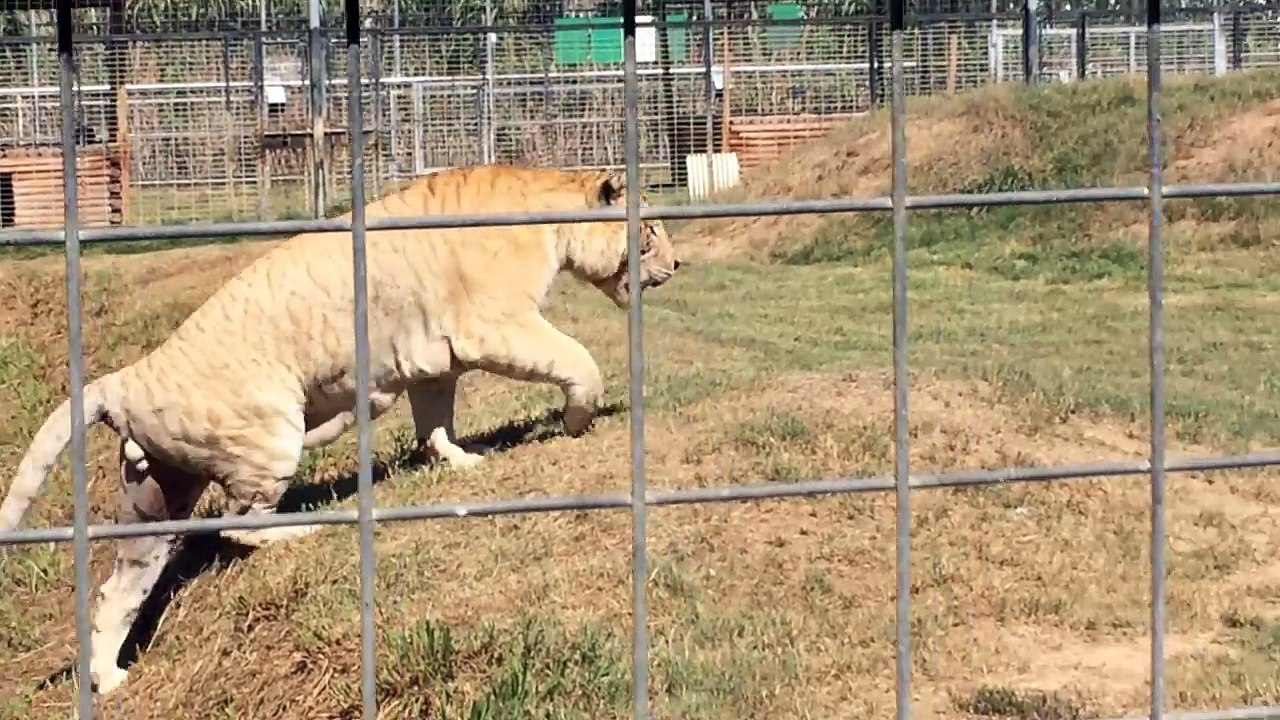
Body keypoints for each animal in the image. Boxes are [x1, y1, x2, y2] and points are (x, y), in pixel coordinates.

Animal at [0, 163, 681, 699]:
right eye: (648, 233)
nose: (678, 264)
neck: (551, 215)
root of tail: (128, 378)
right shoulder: (494, 324)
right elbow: (576, 360)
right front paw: (578, 418)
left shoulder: (438, 357)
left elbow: (436, 420)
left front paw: (459, 461)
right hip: (273, 430)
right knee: (239, 526)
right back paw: (309, 527)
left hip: (156, 500)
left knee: (119, 592)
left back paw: (109, 678)